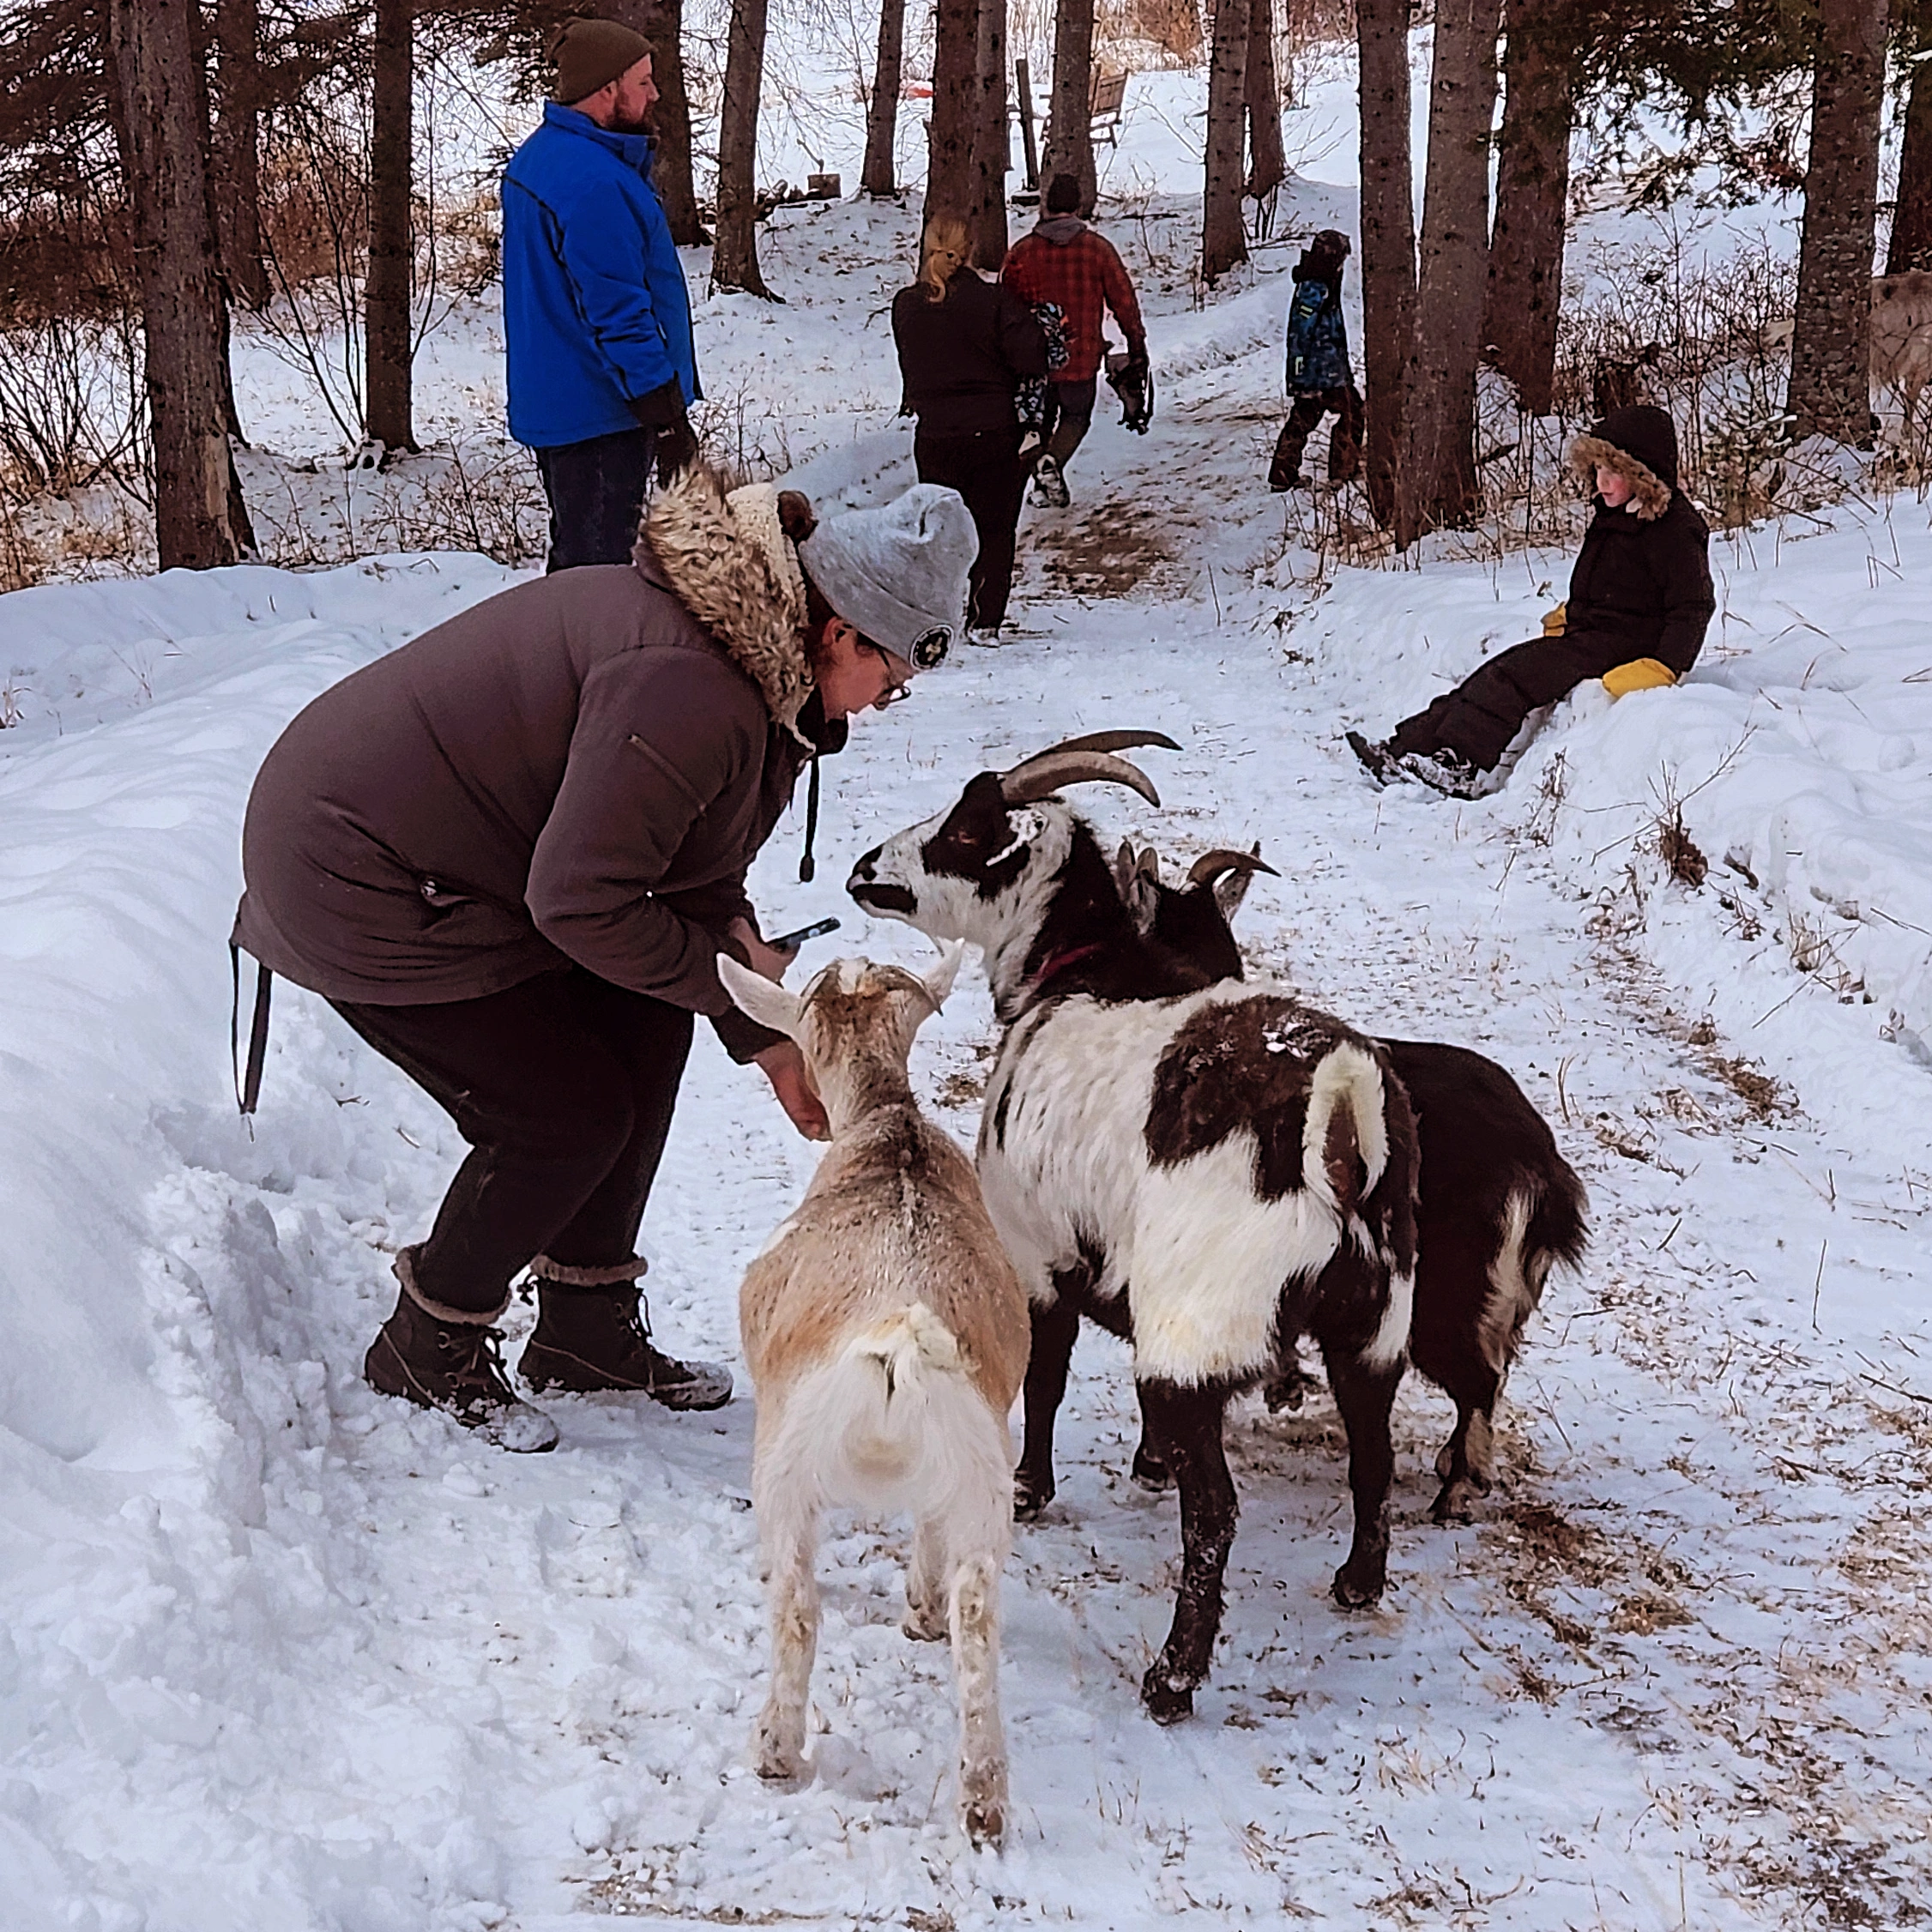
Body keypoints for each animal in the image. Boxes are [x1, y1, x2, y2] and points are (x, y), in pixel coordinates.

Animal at [718, 948, 1029, 1846]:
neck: (892, 1135)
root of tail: (899, 1340)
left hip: (787, 1466)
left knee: (797, 1607)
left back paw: (775, 1750)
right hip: (983, 1473)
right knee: (975, 1616)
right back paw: (983, 1799)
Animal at [847, 735, 1420, 1725]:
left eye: (966, 829)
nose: (861, 870)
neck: (1080, 973)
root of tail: (1340, 1128)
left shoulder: (1035, 1248)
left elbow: (1045, 1372)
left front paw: (1031, 1487)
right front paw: (1147, 1460)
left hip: (1200, 1324)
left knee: (1216, 1512)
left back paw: (1172, 1678)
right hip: (1372, 1328)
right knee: (1372, 1456)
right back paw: (1356, 1582)